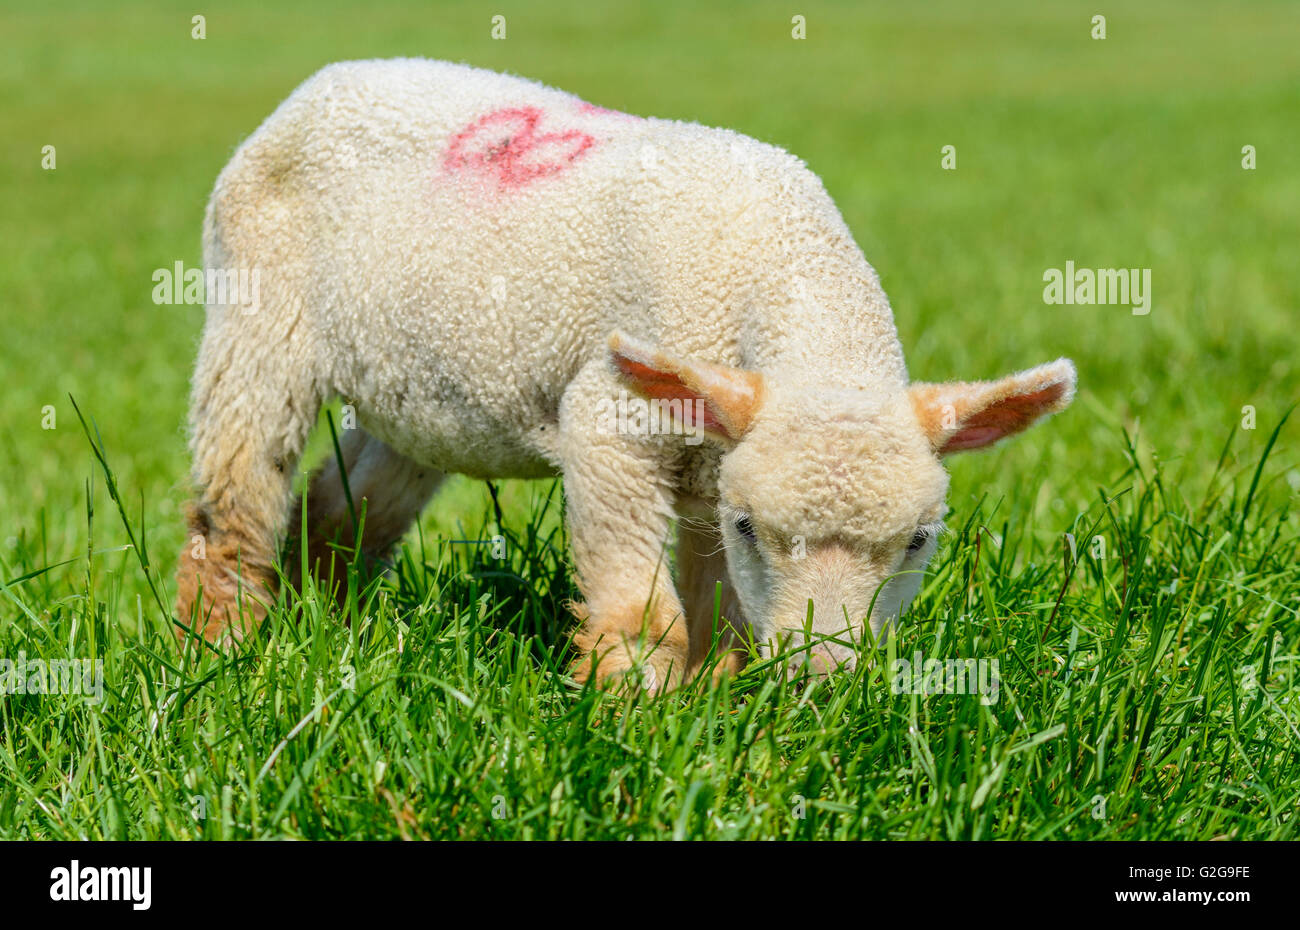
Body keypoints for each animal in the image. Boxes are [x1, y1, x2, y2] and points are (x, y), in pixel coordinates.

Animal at [174, 58, 1077, 689]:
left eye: (919, 541)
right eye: (755, 529)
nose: (820, 678)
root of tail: (323, 83)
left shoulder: (714, 458)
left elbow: (721, 614)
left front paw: (720, 702)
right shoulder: (616, 426)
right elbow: (643, 613)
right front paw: (628, 706)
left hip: (421, 392)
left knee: (344, 504)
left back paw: (324, 620)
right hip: (256, 314)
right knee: (234, 500)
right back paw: (219, 649)